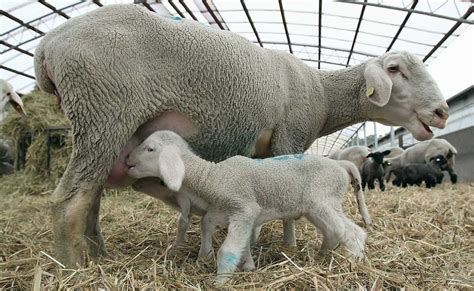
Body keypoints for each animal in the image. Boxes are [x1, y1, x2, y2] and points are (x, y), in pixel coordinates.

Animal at [33, 2, 448, 266]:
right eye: (395, 69)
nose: (442, 112)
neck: (322, 91)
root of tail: (48, 44)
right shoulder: (290, 134)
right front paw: (289, 245)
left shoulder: (266, 150)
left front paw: (259, 241)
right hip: (104, 107)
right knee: (68, 202)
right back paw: (74, 267)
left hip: (101, 122)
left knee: (90, 199)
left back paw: (98, 255)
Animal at [125, 132, 366, 286]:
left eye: (149, 148)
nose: (127, 159)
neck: (211, 177)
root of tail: (340, 164)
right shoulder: (226, 212)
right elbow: (213, 228)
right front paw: (218, 259)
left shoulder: (244, 209)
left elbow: (228, 250)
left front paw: (220, 281)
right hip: (319, 206)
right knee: (335, 232)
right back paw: (323, 256)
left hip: (322, 201)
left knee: (351, 232)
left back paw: (355, 262)